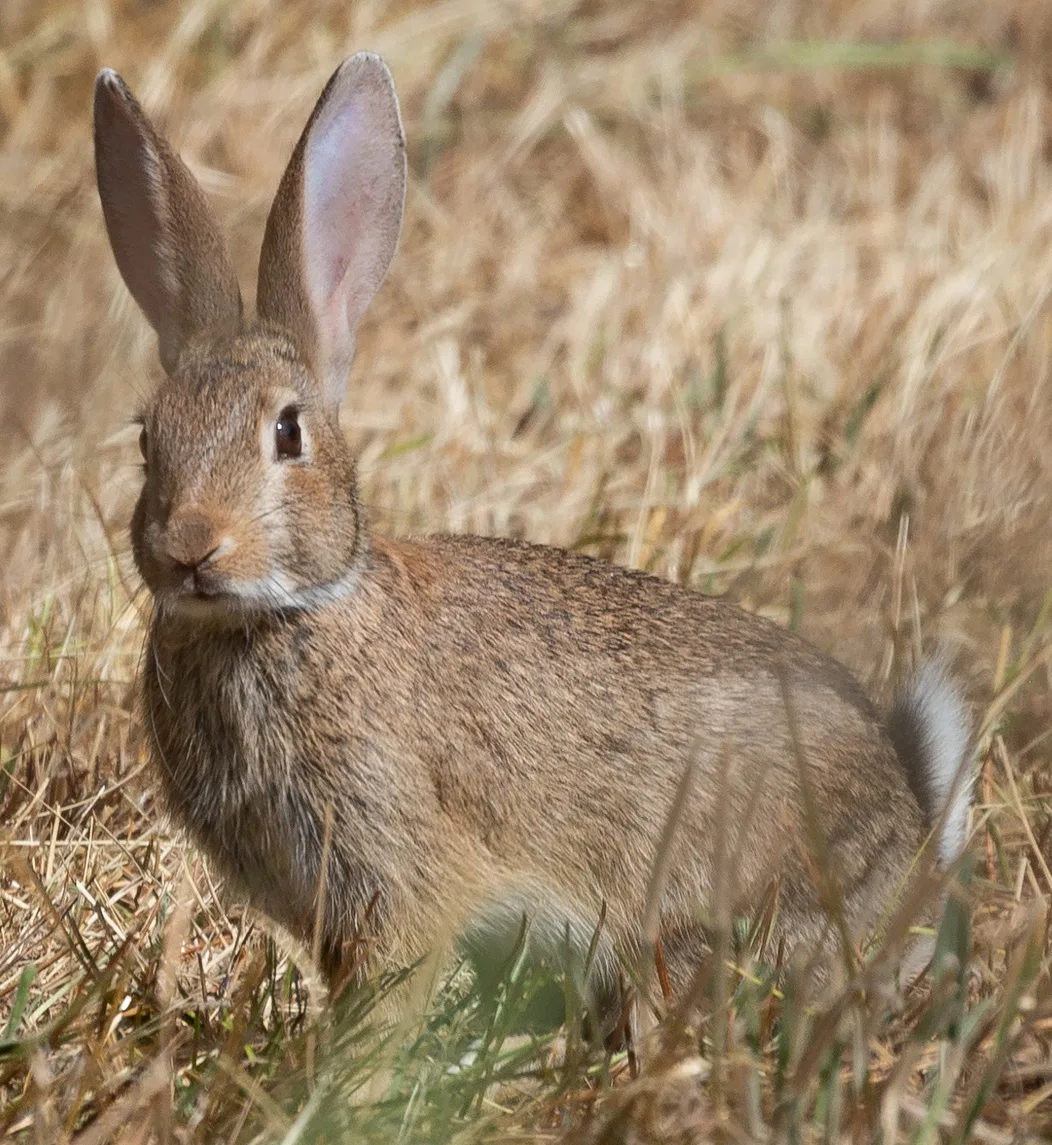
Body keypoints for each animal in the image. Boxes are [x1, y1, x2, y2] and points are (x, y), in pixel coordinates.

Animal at [93, 53, 973, 1018]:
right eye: (148, 439)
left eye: (287, 433)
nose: (190, 546)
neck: (283, 617)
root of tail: (914, 843)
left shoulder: (395, 870)